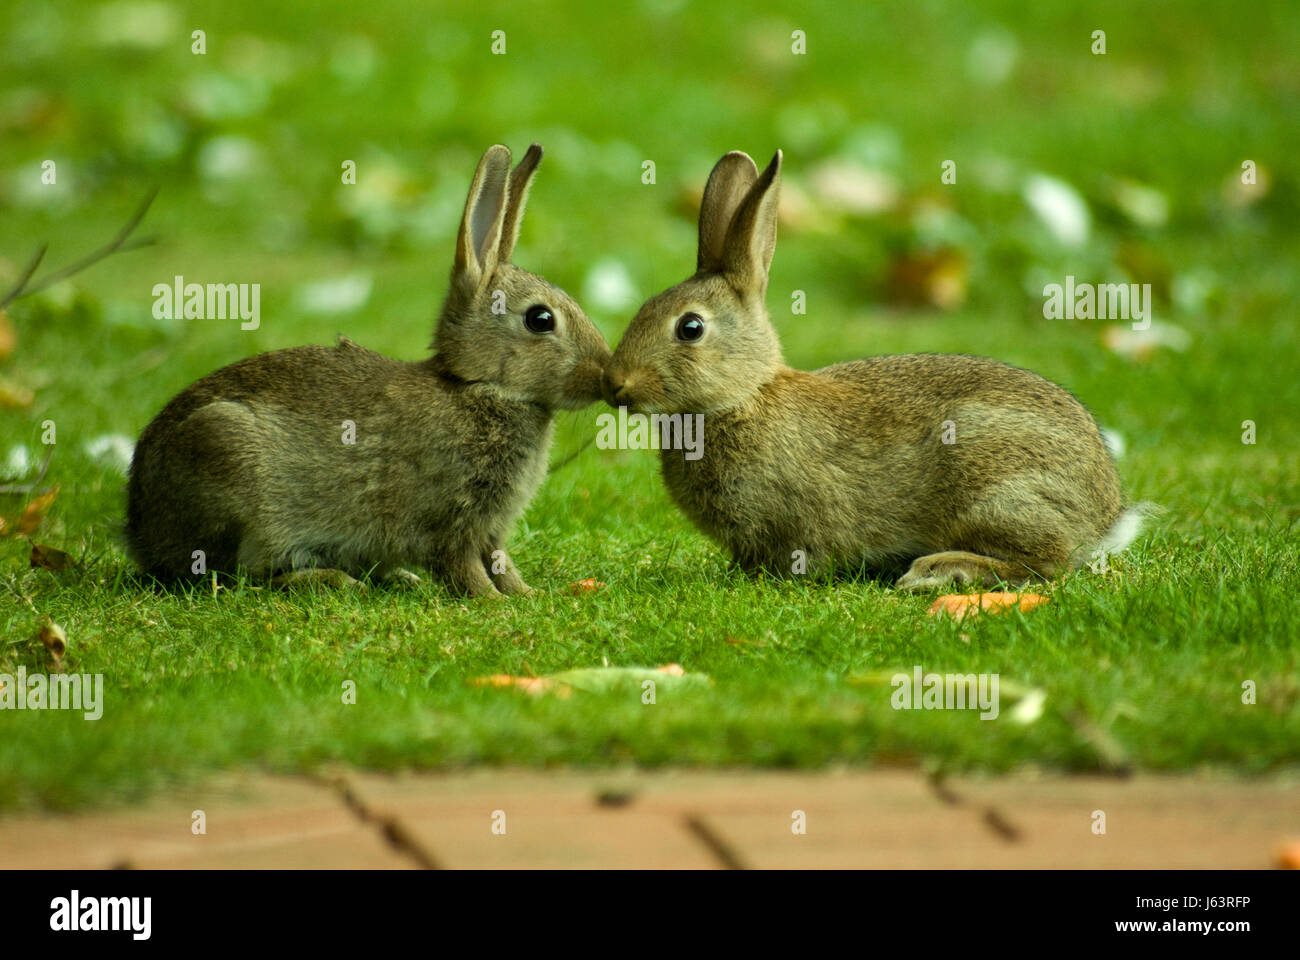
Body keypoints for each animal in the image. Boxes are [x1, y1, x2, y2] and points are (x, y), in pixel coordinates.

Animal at [127, 143, 611, 596]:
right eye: (540, 319)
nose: (605, 375)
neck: (478, 388)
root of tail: (138, 529)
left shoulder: (489, 529)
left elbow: (500, 561)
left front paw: (528, 595)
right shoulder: (447, 520)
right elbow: (464, 567)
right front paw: (495, 603)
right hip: (228, 461)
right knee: (246, 577)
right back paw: (338, 580)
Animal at [601, 149, 1143, 591]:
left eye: (690, 328)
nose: (615, 385)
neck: (745, 396)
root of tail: (1105, 516)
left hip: (995, 488)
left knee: (1047, 563)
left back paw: (938, 570)